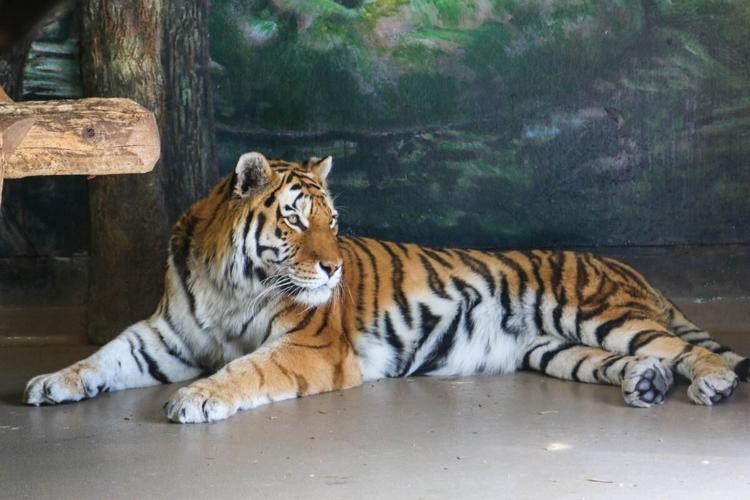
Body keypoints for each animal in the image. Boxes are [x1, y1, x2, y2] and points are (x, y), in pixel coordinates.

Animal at [24, 152, 749, 423]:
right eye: (295, 220)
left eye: (333, 222)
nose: (333, 269)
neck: (231, 284)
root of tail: (631, 269)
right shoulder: (163, 336)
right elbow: (102, 356)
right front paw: (51, 382)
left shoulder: (311, 347)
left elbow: (246, 370)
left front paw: (197, 398)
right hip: (556, 348)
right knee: (639, 360)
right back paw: (646, 385)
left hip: (598, 314)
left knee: (685, 348)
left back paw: (711, 383)